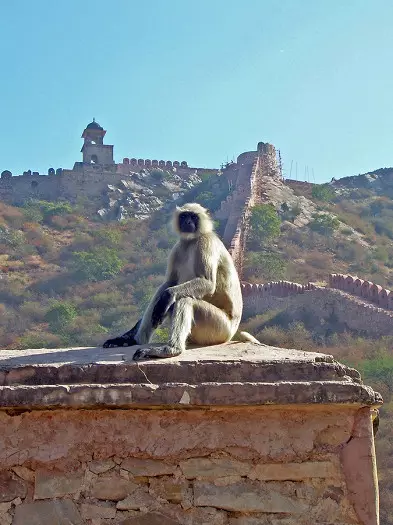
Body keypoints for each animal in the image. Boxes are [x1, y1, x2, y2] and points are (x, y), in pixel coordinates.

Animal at [102, 202, 258, 360]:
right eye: (184, 216)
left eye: (193, 217)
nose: (187, 222)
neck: (192, 241)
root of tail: (232, 331)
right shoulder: (179, 247)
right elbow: (169, 283)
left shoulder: (206, 242)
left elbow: (206, 283)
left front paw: (168, 295)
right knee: (165, 294)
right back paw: (136, 340)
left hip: (219, 327)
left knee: (185, 300)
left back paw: (171, 350)